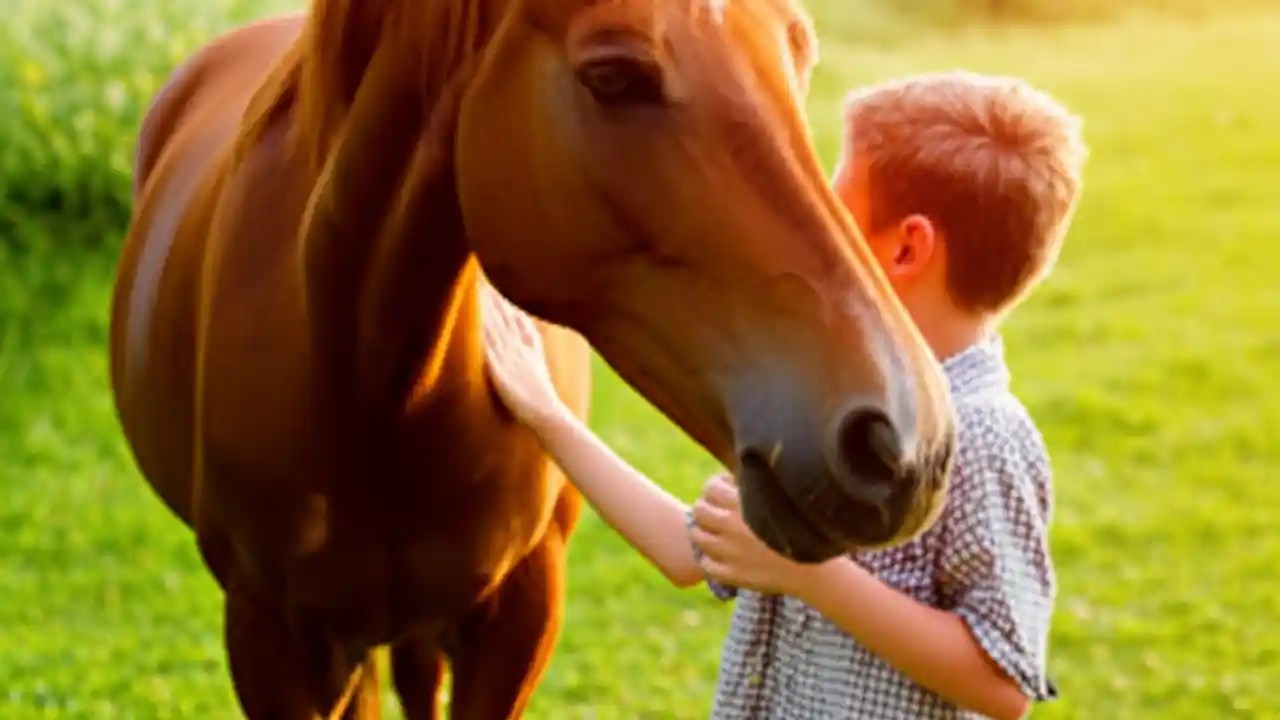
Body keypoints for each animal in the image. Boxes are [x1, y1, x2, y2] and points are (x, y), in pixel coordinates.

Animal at [108, 0, 958, 717]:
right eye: (612, 75)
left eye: (798, 48)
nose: (905, 443)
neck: (373, 392)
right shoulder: (268, 638)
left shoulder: (521, 614)